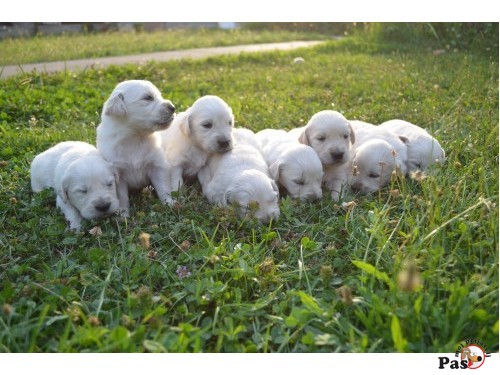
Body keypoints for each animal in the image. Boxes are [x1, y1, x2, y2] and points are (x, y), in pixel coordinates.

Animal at [96, 79, 177, 216]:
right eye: (148, 98)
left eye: (159, 95)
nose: (172, 107)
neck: (136, 138)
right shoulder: (118, 175)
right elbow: (122, 196)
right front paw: (123, 214)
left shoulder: (158, 166)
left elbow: (163, 187)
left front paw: (169, 203)